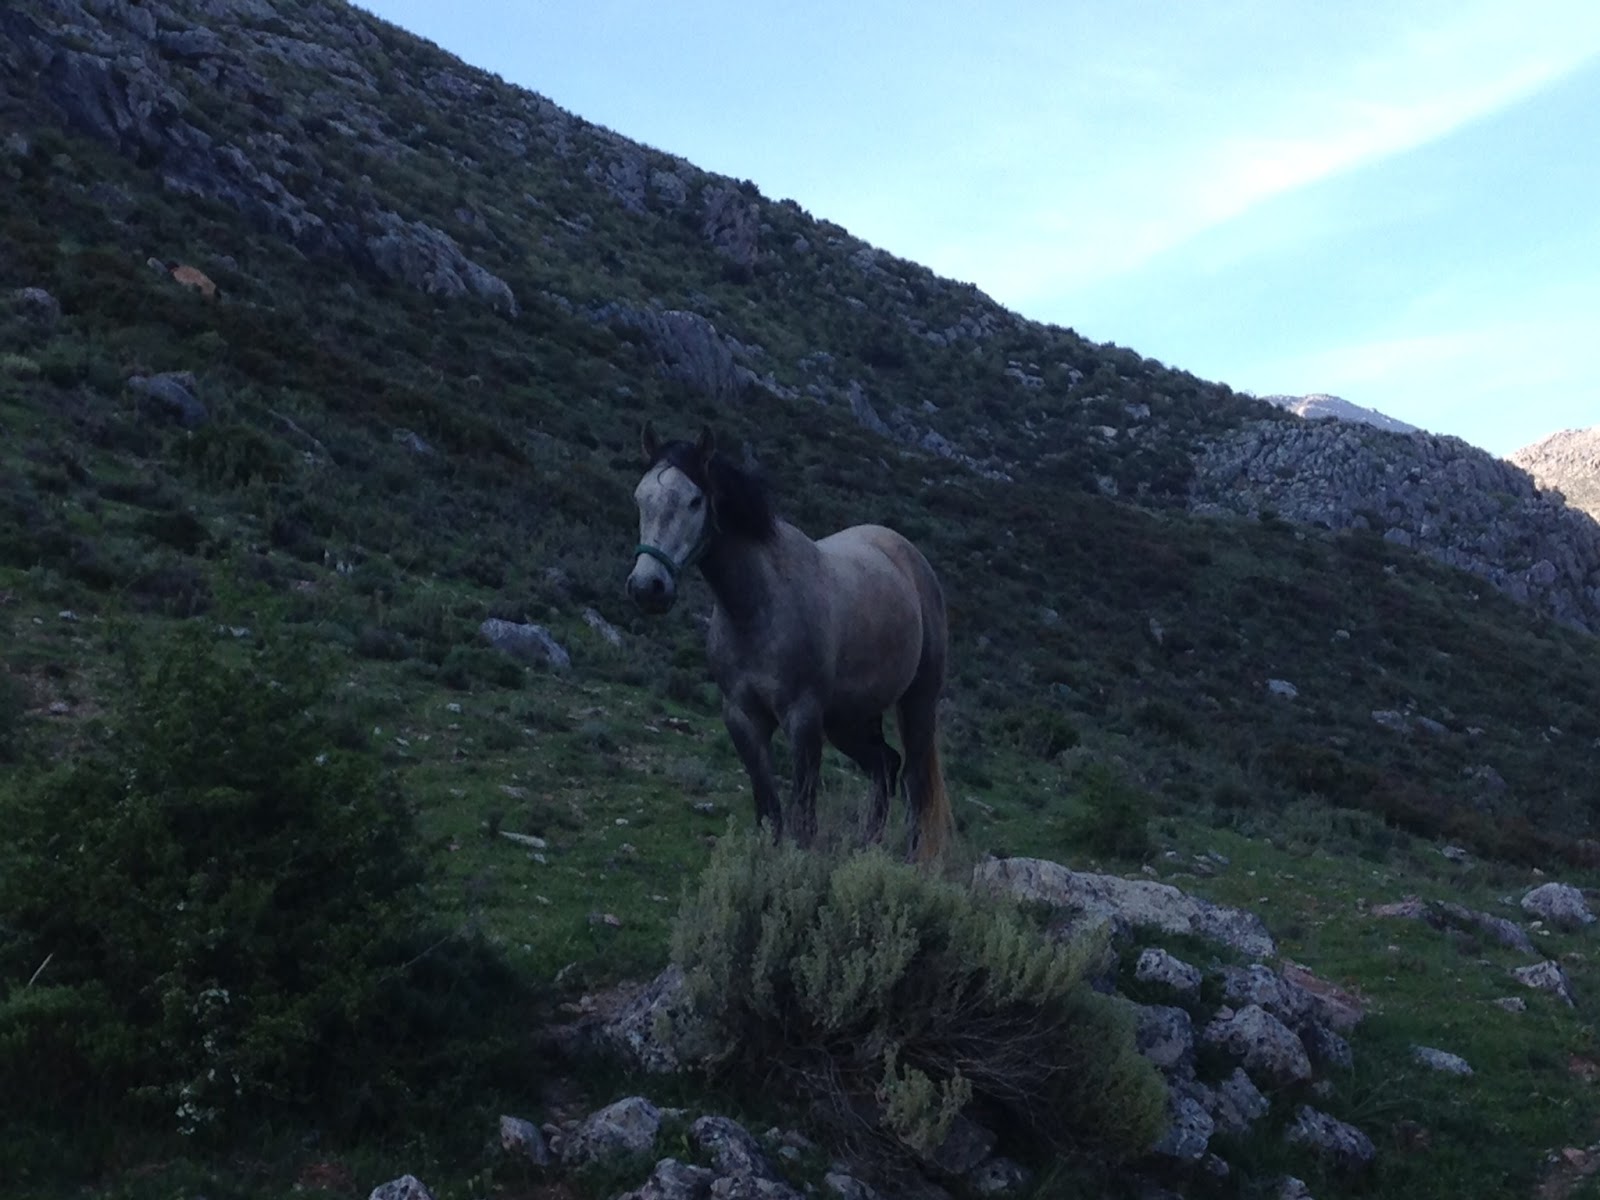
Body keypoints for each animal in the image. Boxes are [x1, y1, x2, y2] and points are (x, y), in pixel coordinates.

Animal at [626, 424, 953, 861]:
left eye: (695, 500)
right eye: (640, 497)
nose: (648, 587)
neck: (759, 606)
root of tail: (909, 556)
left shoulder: (802, 718)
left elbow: (803, 816)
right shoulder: (743, 719)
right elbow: (770, 812)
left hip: (916, 703)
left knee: (914, 783)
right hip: (848, 719)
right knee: (884, 766)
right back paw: (866, 850)